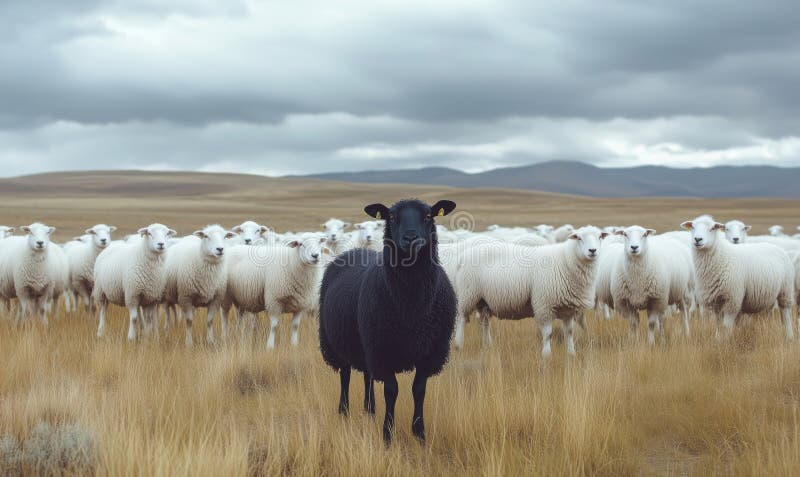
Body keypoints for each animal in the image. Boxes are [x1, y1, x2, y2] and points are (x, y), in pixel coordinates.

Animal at [319, 199, 457, 444]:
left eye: (428, 216)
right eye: (392, 217)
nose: (411, 238)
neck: (411, 304)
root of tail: (355, 251)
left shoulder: (429, 352)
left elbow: (419, 390)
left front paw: (419, 433)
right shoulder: (383, 350)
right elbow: (391, 391)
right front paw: (387, 434)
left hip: (365, 344)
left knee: (367, 376)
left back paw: (369, 410)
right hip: (337, 344)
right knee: (345, 376)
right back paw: (344, 411)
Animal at [453, 226, 608, 355]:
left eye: (600, 237)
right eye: (579, 238)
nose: (592, 251)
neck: (565, 262)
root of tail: (462, 256)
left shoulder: (568, 308)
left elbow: (569, 332)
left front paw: (571, 354)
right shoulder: (544, 305)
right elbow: (548, 333)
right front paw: (546, 355)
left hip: (483, 300)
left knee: (484, 322)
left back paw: (487, 344)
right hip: (468, 293)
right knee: (461, 318)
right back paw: (459, 344)